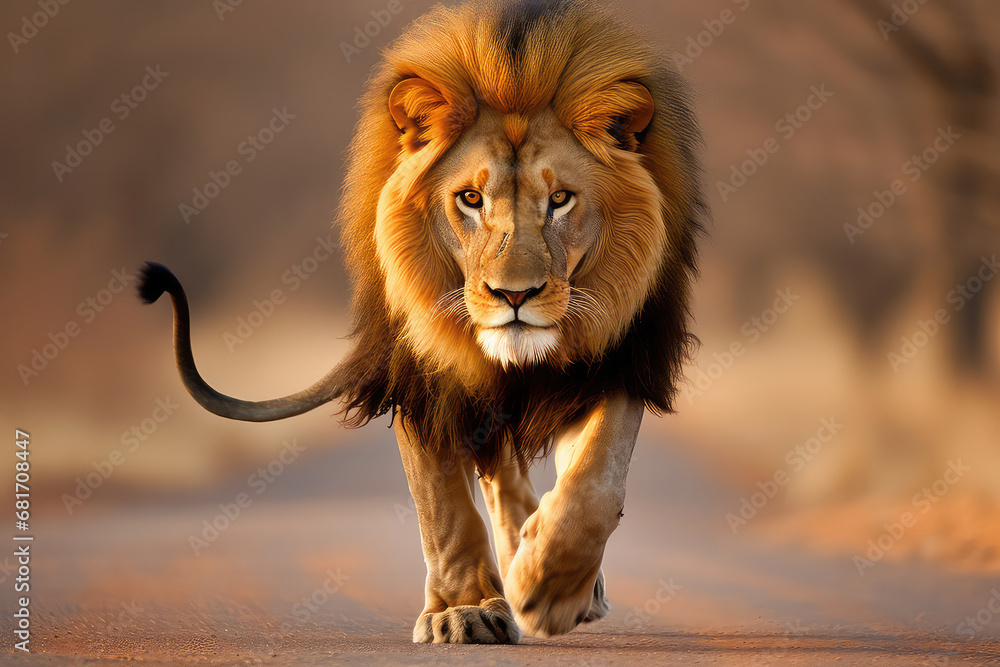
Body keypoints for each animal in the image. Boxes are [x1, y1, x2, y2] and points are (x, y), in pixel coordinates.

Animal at [138, 0, 705, 644]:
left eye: (560, 199)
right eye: (470, 200)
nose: (515, 295)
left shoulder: (620, 359)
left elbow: (596, 483)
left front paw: (549, 590)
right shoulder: (420, 376)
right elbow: (442, 503)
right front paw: (466, 610)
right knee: (497, 476)